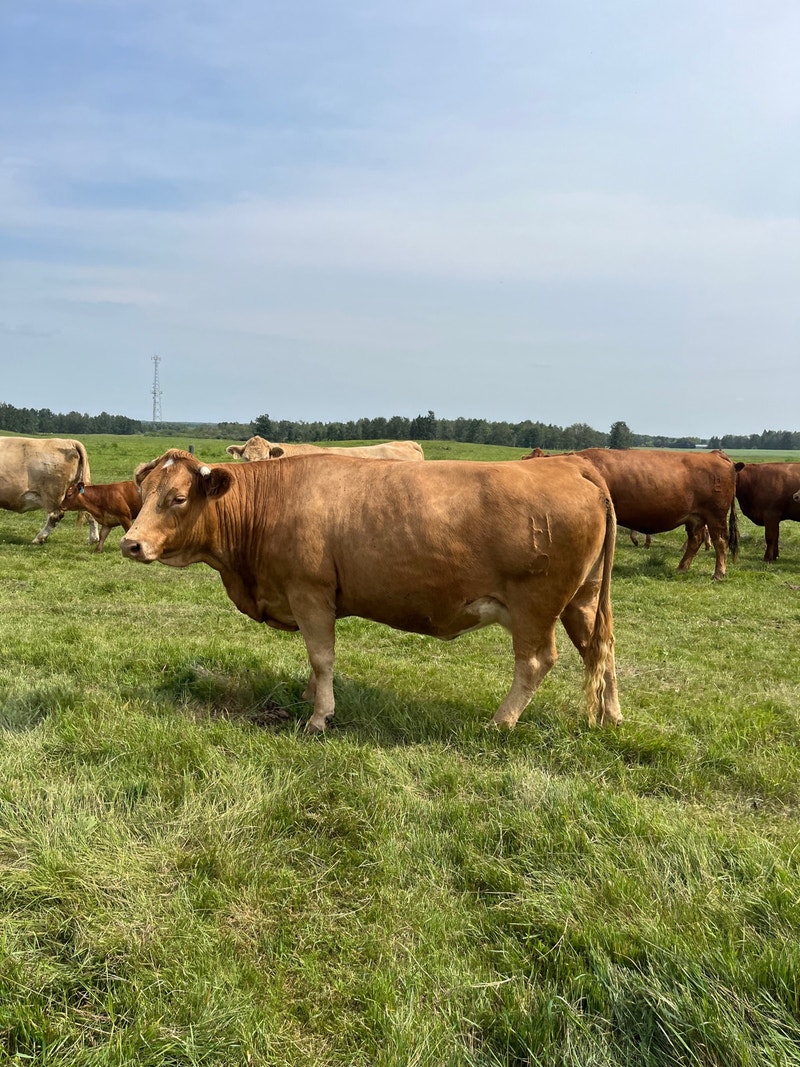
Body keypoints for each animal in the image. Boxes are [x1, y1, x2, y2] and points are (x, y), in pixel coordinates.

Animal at [120, 450, 621, 733]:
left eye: (178, 498)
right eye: (143, 493)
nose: (131, 543)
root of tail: (572, 465)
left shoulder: (310, 592)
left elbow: (322, 656)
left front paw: (320, 716)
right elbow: (315, 660)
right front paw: (310, 696)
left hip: (536, 605)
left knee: (537, 662)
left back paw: (501, 721)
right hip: (583, 599)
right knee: (601, 650)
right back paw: (610, 717)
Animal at [523, 448, 738, 579]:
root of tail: (716, 455)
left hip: (716, 516)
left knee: (720, 541)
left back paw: (719, 573)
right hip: (695, 518)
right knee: (696, 540)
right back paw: (681, 568)